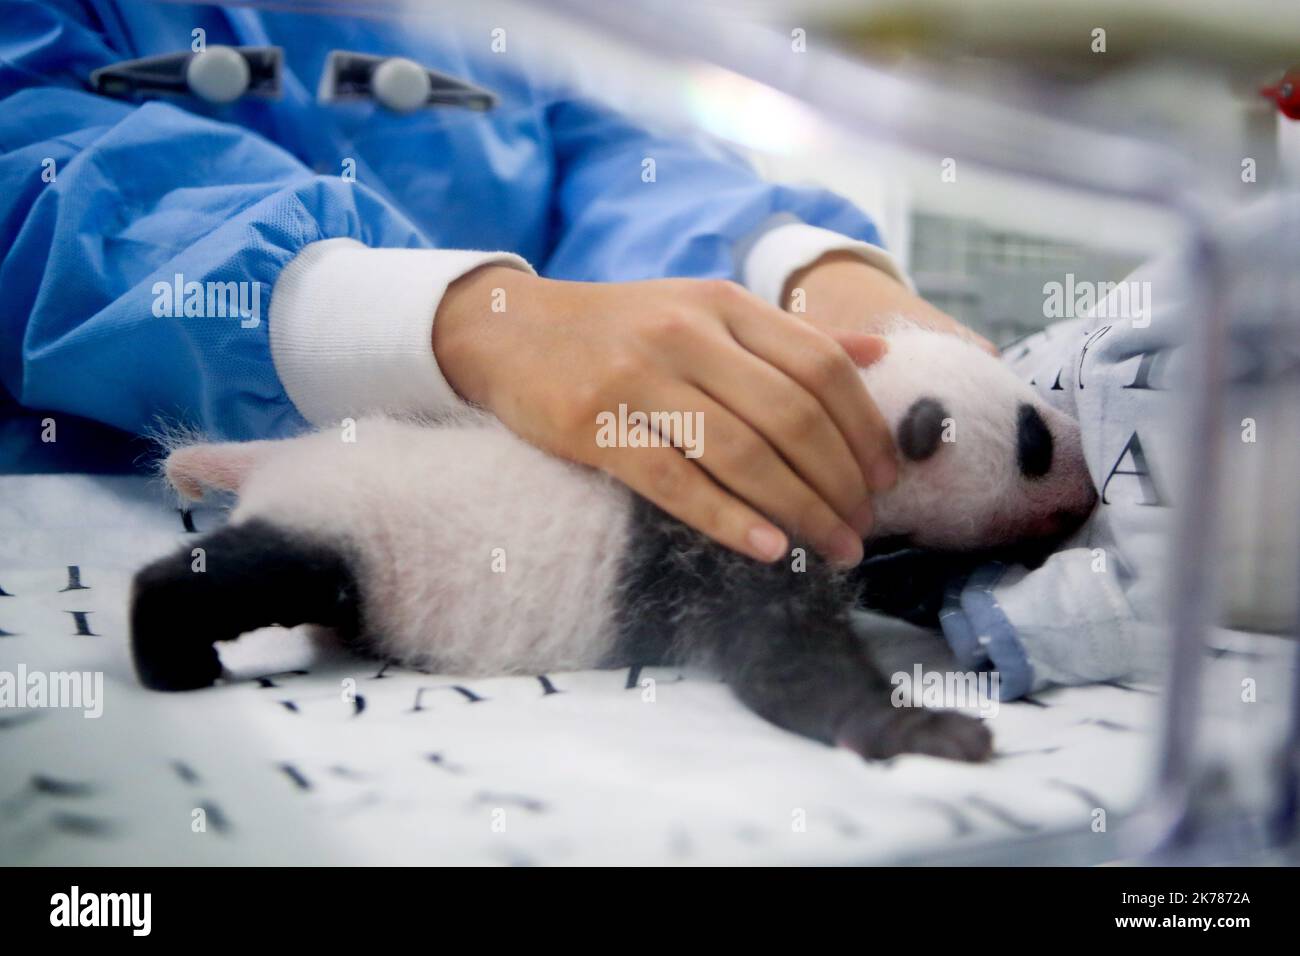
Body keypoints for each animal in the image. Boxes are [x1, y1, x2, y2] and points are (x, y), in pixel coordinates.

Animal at [130, 326, 1098, 763]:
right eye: (1032, 443)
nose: (1090, 484)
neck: (827, 414)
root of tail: (281, 459)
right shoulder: (738, 523)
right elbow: (786, 661)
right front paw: (921, 728)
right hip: (342, 534)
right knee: (250, 573)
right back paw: (172, 653)